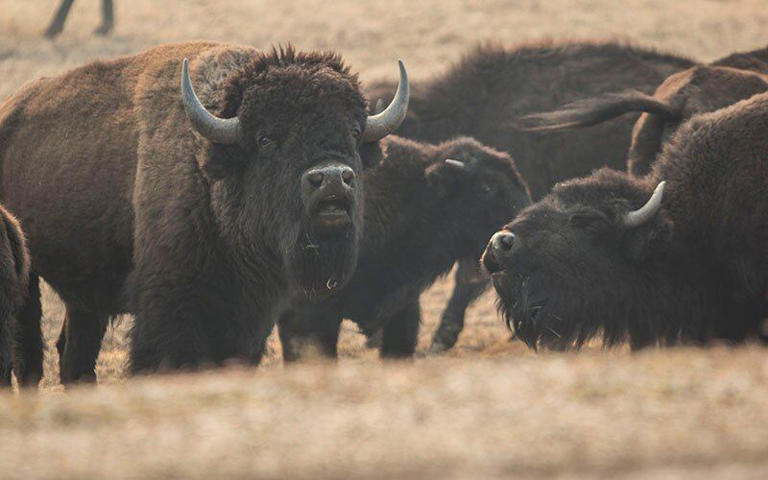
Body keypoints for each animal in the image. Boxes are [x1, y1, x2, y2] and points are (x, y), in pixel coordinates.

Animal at [0, 42, 408, 382]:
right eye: (266, 139)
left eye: (354, 133)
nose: (332, 179)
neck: (211, 178)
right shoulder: (169, 306)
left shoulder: (250, 314)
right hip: (27, 280)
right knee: (28, 353)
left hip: (85, 295)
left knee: (73, 352)